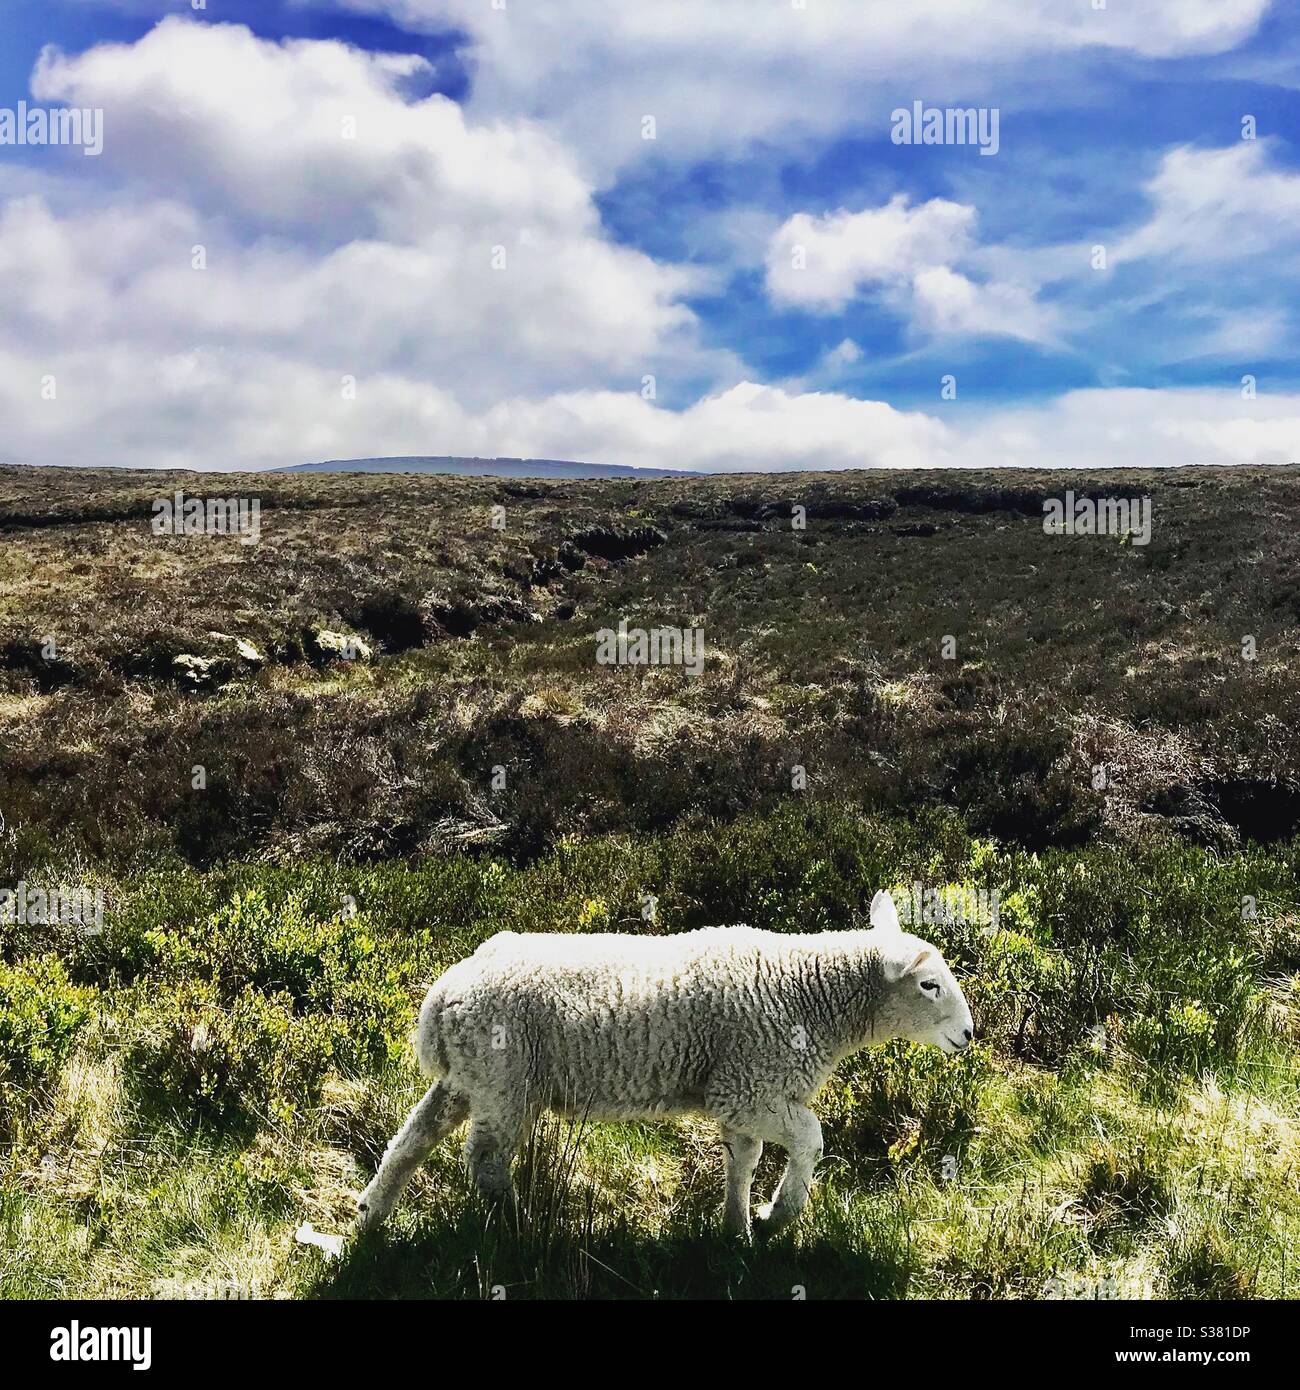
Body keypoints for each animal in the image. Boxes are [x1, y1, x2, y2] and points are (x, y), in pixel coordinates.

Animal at [357, 888, 973, 1239]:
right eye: (928, 985)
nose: (969, 1034)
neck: (808, 994)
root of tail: (442, 999)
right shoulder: (748, 1085)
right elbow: (812, 1138)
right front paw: (779, 1212)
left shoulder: (739, 1092)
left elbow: (744, 1159)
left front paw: (736, 1230)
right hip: (505, 1077)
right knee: (485, 1159)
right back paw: (514, 1229)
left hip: (471, 1078)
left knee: (413, 1138)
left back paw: (371, 1211)